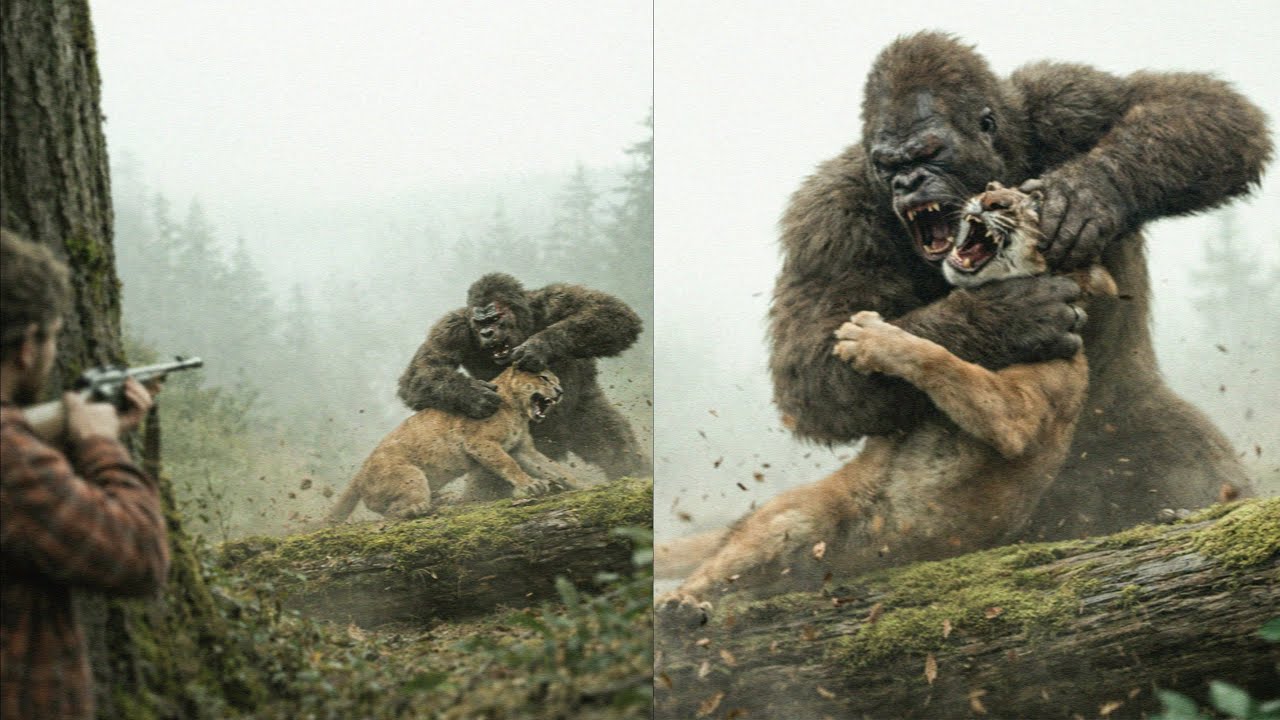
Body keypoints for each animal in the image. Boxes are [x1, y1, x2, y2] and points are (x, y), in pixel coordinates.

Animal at [325, 366, 584, 523]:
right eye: (543, 377)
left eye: (558, 380)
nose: (560, 391)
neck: (518, 410)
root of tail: (360, 473)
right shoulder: (480, 443)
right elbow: (509, 465)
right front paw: (531, 486)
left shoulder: (523, 449)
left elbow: (554, 469)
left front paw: (582, 486)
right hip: (411, 475)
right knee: (390, 514)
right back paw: (422, 508)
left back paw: (444, 498)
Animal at [660, 184, 1116, 611]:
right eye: (993, 186)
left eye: (1034, 202)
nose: (990, 201)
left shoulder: (1013, 418)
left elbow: (940, 359)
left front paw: (866, 336)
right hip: (792, 520)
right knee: (709, 575)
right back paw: (680, 608)